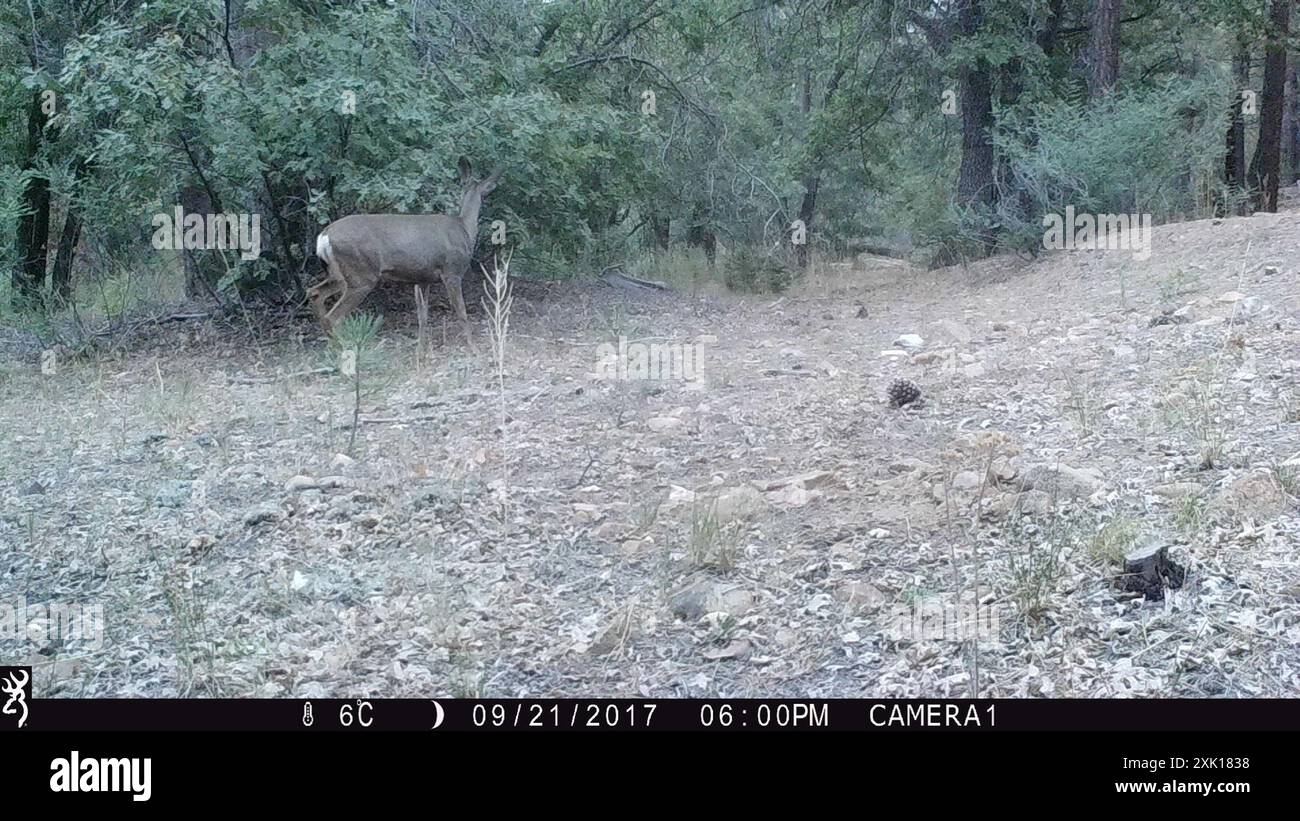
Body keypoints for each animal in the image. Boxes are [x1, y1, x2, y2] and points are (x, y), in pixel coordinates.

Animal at [309, 157, 503, 348]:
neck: (465, 228)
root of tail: (324, 236)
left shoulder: (423, 279)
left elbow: (422, 317)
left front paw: (421, 351)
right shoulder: (452, 272)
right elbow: (462, 312)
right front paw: (473, 349)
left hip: (339, 273)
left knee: (314, 293)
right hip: (361, 274)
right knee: (334, 316)